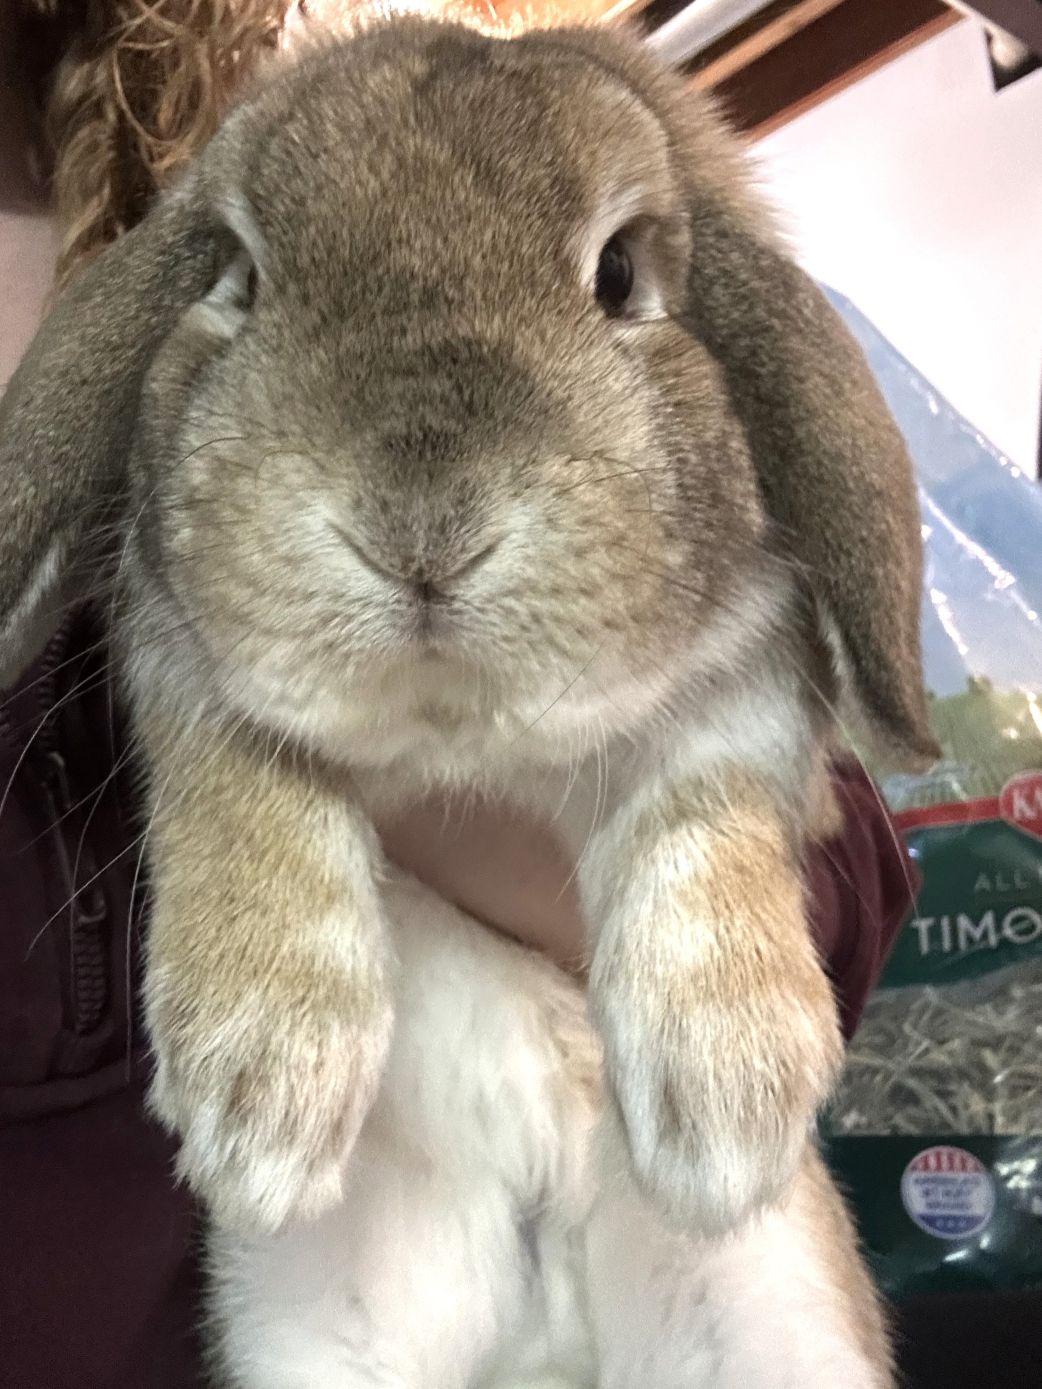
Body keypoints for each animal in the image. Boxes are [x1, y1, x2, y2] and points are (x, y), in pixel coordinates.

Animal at [0, 15, 937, 1386]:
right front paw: (260, 1086)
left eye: (619, 275)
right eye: (238, 274)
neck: (462, 747)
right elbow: (241, 776)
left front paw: (726, 1096)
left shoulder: (758, 692)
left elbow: (701, 802)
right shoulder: (184, 659)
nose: (420, 532)